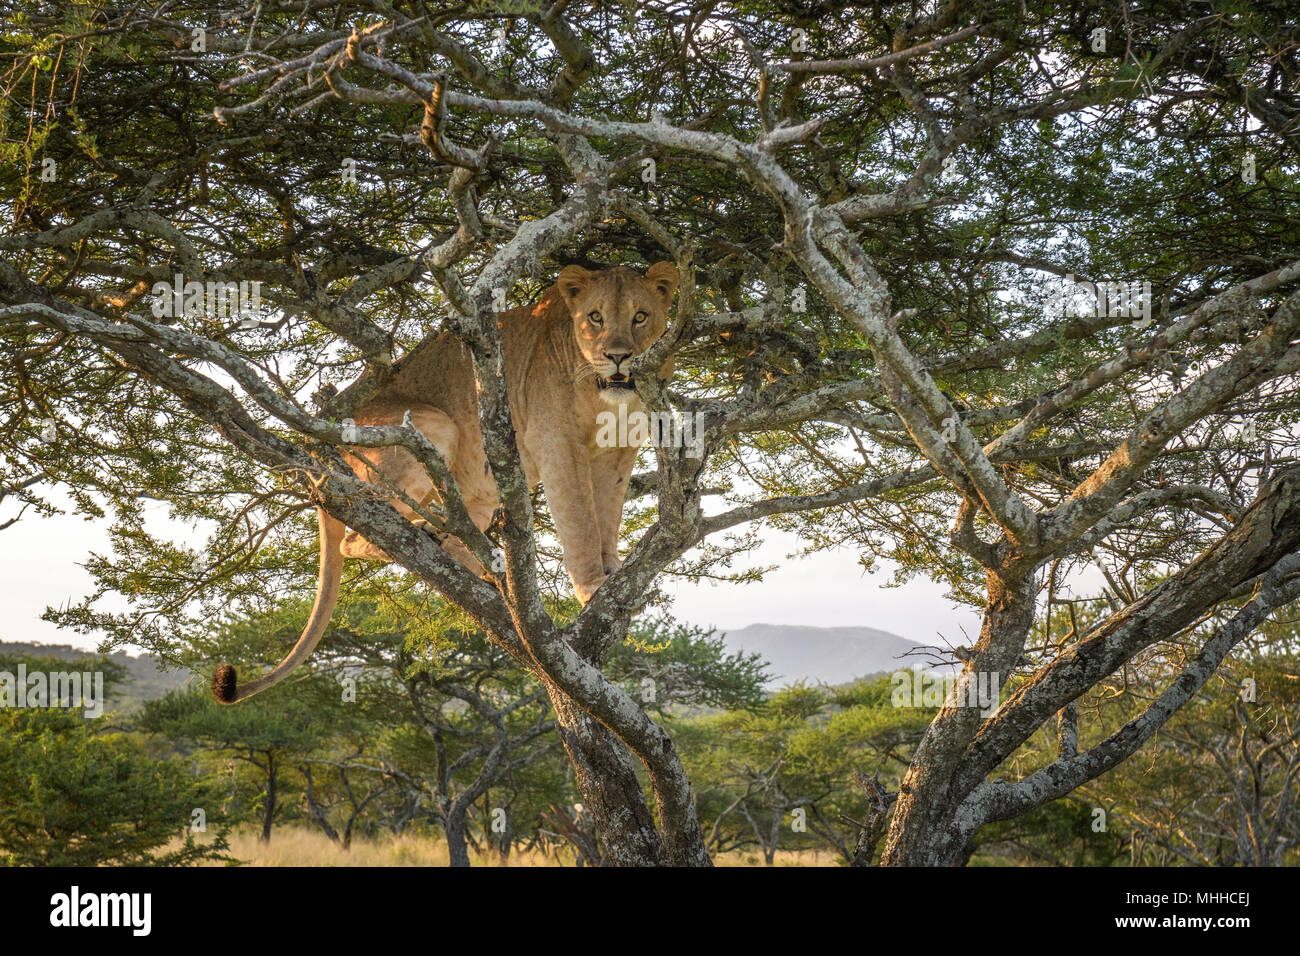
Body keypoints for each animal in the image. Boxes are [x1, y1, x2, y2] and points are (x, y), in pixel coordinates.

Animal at [211, 262, 680, 704]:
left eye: (640, 317)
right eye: (595, 318)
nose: (618, 356)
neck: (608, 396)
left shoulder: (619, 452)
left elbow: (608, 515)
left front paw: (612, 569)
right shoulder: (557, 442)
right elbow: (580, 520)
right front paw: (592, 586)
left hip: (478, 487)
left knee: (454, 536)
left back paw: (484, 568)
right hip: (434, 425)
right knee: (359, 535)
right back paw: (435, 539)